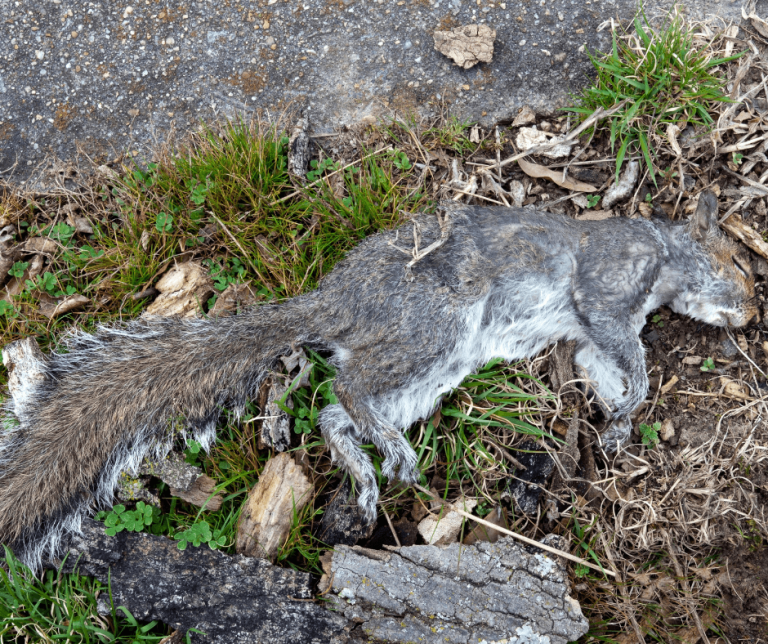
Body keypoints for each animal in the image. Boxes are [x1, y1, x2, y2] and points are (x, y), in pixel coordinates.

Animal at [0, 192, 758, 572]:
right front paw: (634, 403)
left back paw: (364, 471)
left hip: (436, 365)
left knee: (335, 412)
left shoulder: (593, 336)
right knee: (350, 388)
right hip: (434, 327)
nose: (753, 311)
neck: (662, 259)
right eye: (736, 264)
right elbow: (628, 353)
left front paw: (619, 422)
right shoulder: (606, 291)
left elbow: (603, 367)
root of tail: (336, 302)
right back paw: (385, 452)